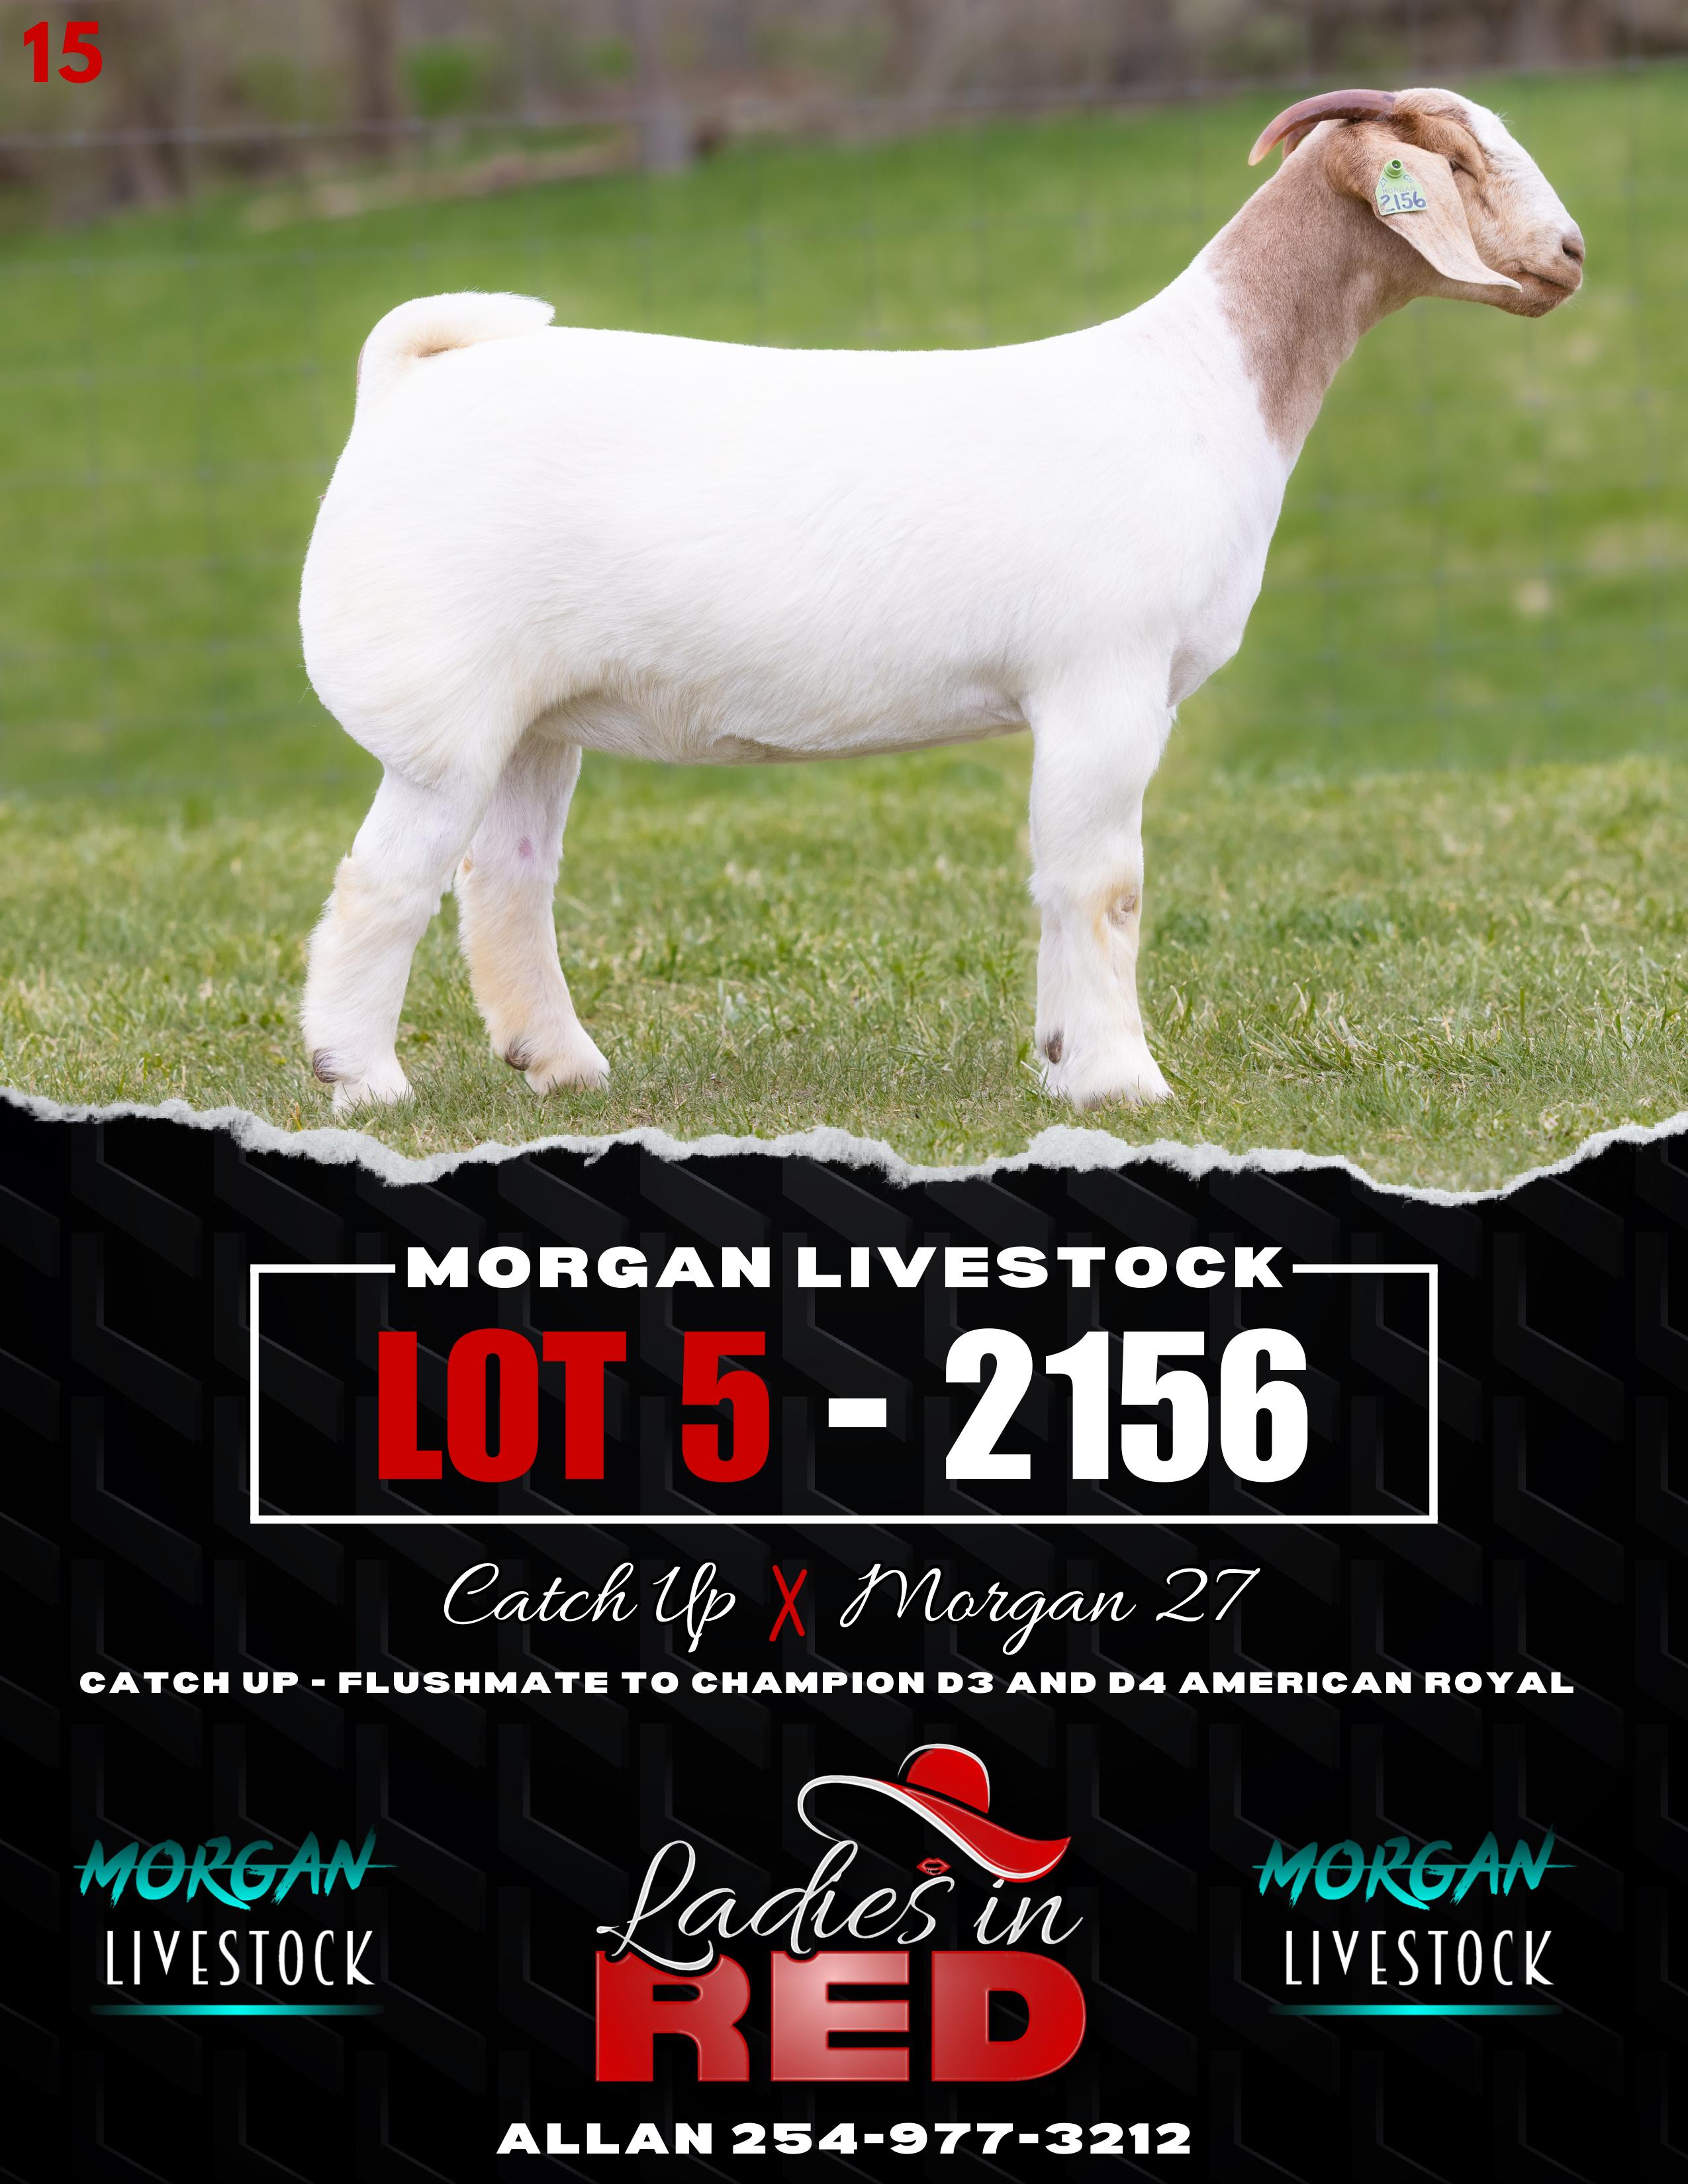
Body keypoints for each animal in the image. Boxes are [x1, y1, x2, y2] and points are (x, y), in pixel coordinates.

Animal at [299, 86, 1582, 1116]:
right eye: (1458, 165)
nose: (1569, 254)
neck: (1202, 386)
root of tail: (405, 388)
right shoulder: (1105, 682)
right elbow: (1101, 885)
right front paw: (1121, 1081)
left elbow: (1069, 885)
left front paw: (1066, 1064)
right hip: (441, 715)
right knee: (381, 885)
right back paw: (364, 1083)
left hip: (528, 719)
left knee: (505, 879)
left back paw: (562, 1066)